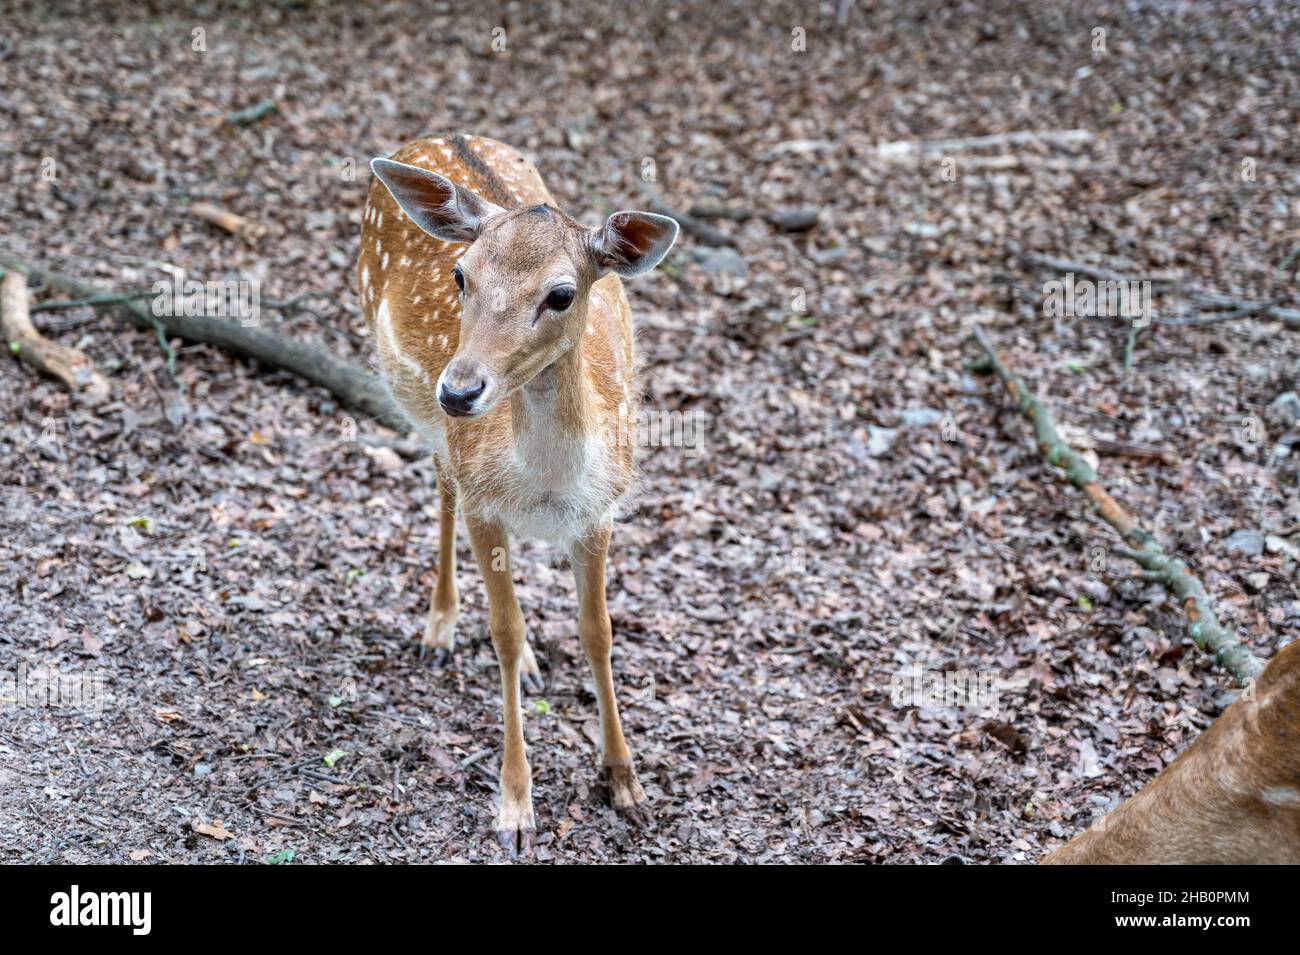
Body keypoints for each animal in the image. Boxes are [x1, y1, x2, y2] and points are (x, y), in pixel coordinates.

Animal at [357, 134, 678, 855]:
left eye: (561, 293)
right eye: (460, 276)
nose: (460, 389)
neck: (547, 485)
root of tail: (438, 136)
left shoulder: (600, 511)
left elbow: (598, 631)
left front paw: (625, 782)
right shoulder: (484, 502)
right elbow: (502, 631)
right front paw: (514, 806)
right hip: (426, 419)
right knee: (442, 482)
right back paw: (440, 626)